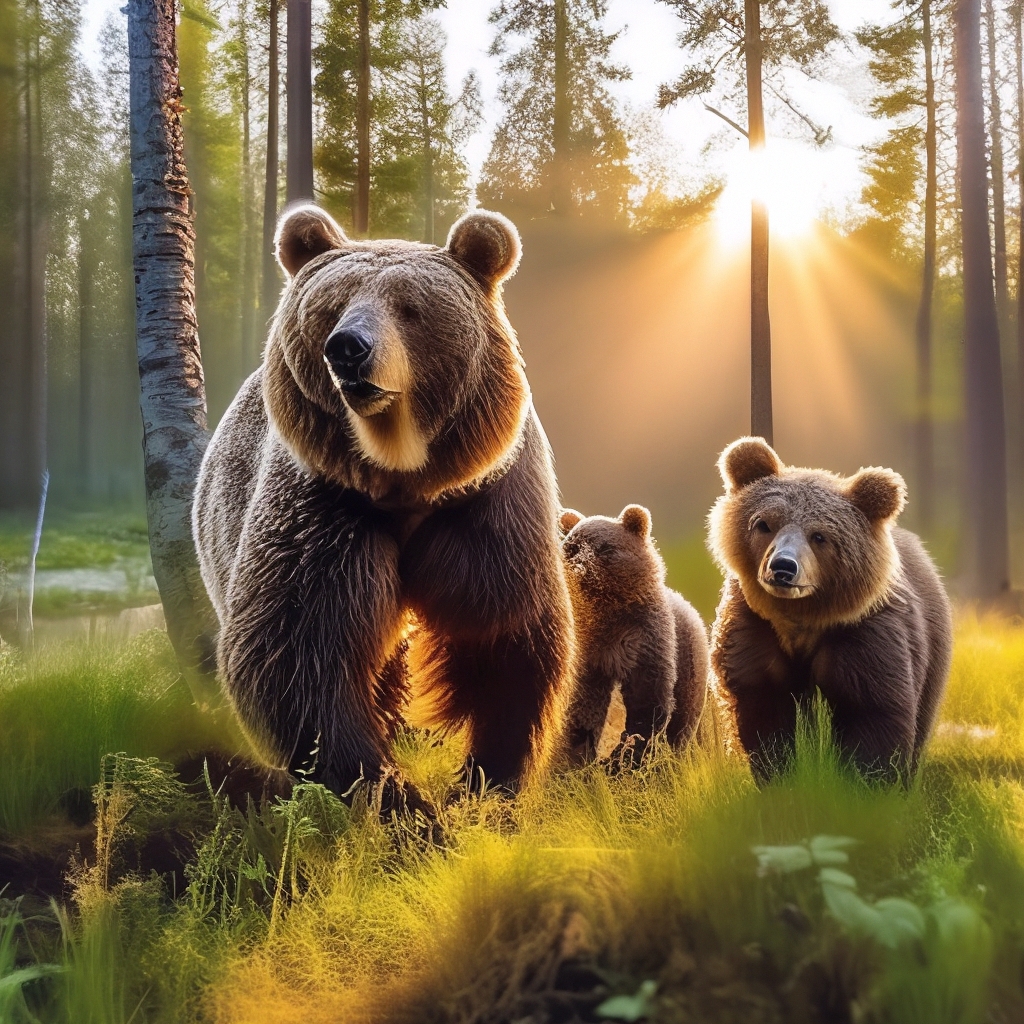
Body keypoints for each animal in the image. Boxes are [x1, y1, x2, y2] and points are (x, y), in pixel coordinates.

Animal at [192, 203, 574, 813]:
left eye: (411, 309)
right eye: (330, 307)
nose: (348, 348)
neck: (402, 476)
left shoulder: (487, 504)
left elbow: (503, 633)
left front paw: (486, 783)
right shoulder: (324, 508)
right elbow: (299, 651)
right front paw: (393, 794)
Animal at [558, 504, 709, 764]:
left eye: (605, 548)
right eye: (572, 547)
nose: (580, 571)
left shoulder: (643, 637)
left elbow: (646, 696)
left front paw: (626, 755)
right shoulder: (587, 651)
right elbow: (584, 705)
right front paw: (578, 753)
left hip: (689, 660)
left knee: (683, 720)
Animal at [707, 437, 953, 783]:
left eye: (820, 536)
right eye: (764, 524)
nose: (783, 567)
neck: (801, 619)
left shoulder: (864, 632)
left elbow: (871, 710)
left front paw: (865, 780)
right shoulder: (754, 628)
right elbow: (764, 710)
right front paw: (779, 773)